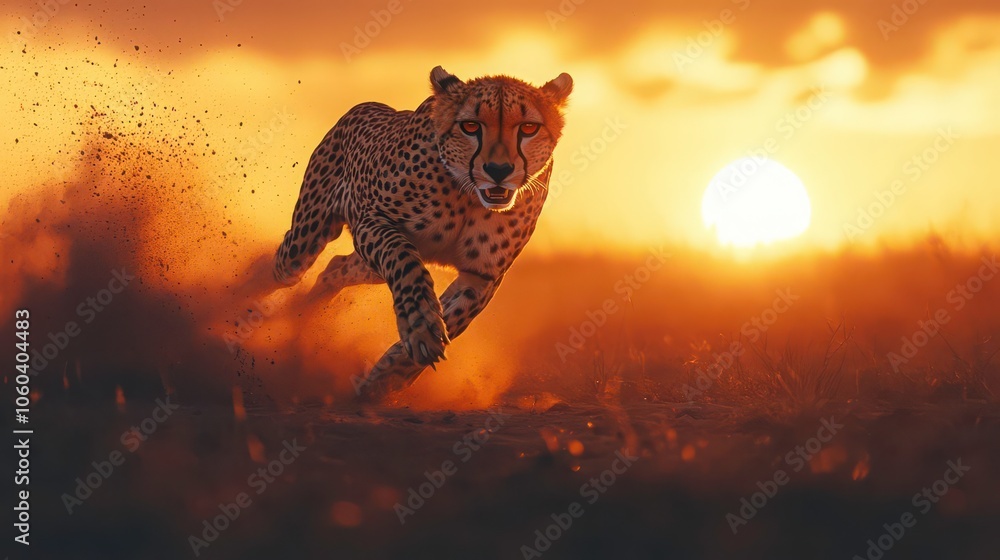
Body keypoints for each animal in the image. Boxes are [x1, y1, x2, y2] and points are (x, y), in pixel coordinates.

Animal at [271, 66, 573, 400]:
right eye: (470, 126)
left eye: (529, 128)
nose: (498, 170)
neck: (467, 196)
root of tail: (368, 106)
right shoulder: (373, 223)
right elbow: (404, 260)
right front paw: (420, 326)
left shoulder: (483, 274)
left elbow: (457, 317)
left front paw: (386, 380)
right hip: (307, 238)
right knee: (283, 266)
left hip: (367, 269)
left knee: (335, 268)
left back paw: (300, 317)